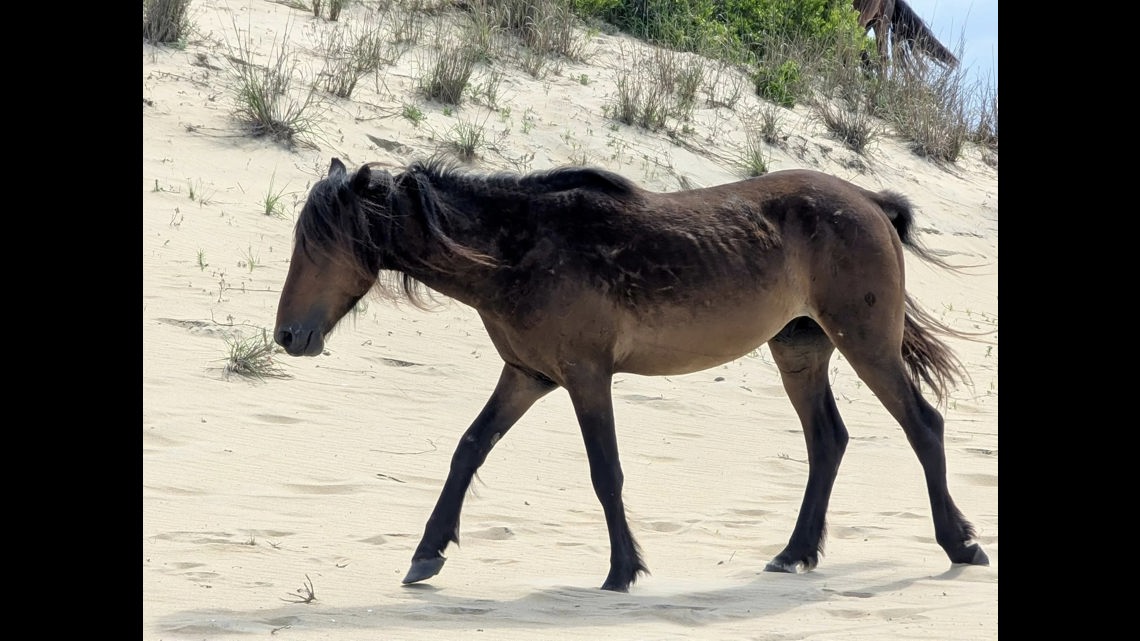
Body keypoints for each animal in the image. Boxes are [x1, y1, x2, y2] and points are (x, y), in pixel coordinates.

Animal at [273, 157, 990, 592]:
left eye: (320, 244)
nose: (287, 336)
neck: (518, 249)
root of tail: (867, 200)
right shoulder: (526, 375)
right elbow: (468, 449)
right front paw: (427, 553)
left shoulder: (587, 378)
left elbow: (605, 473)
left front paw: (623, 569)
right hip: (801, 352)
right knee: (828, 443)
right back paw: (795, 553)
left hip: (867, 343)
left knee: (923, 425)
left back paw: (960, 545)